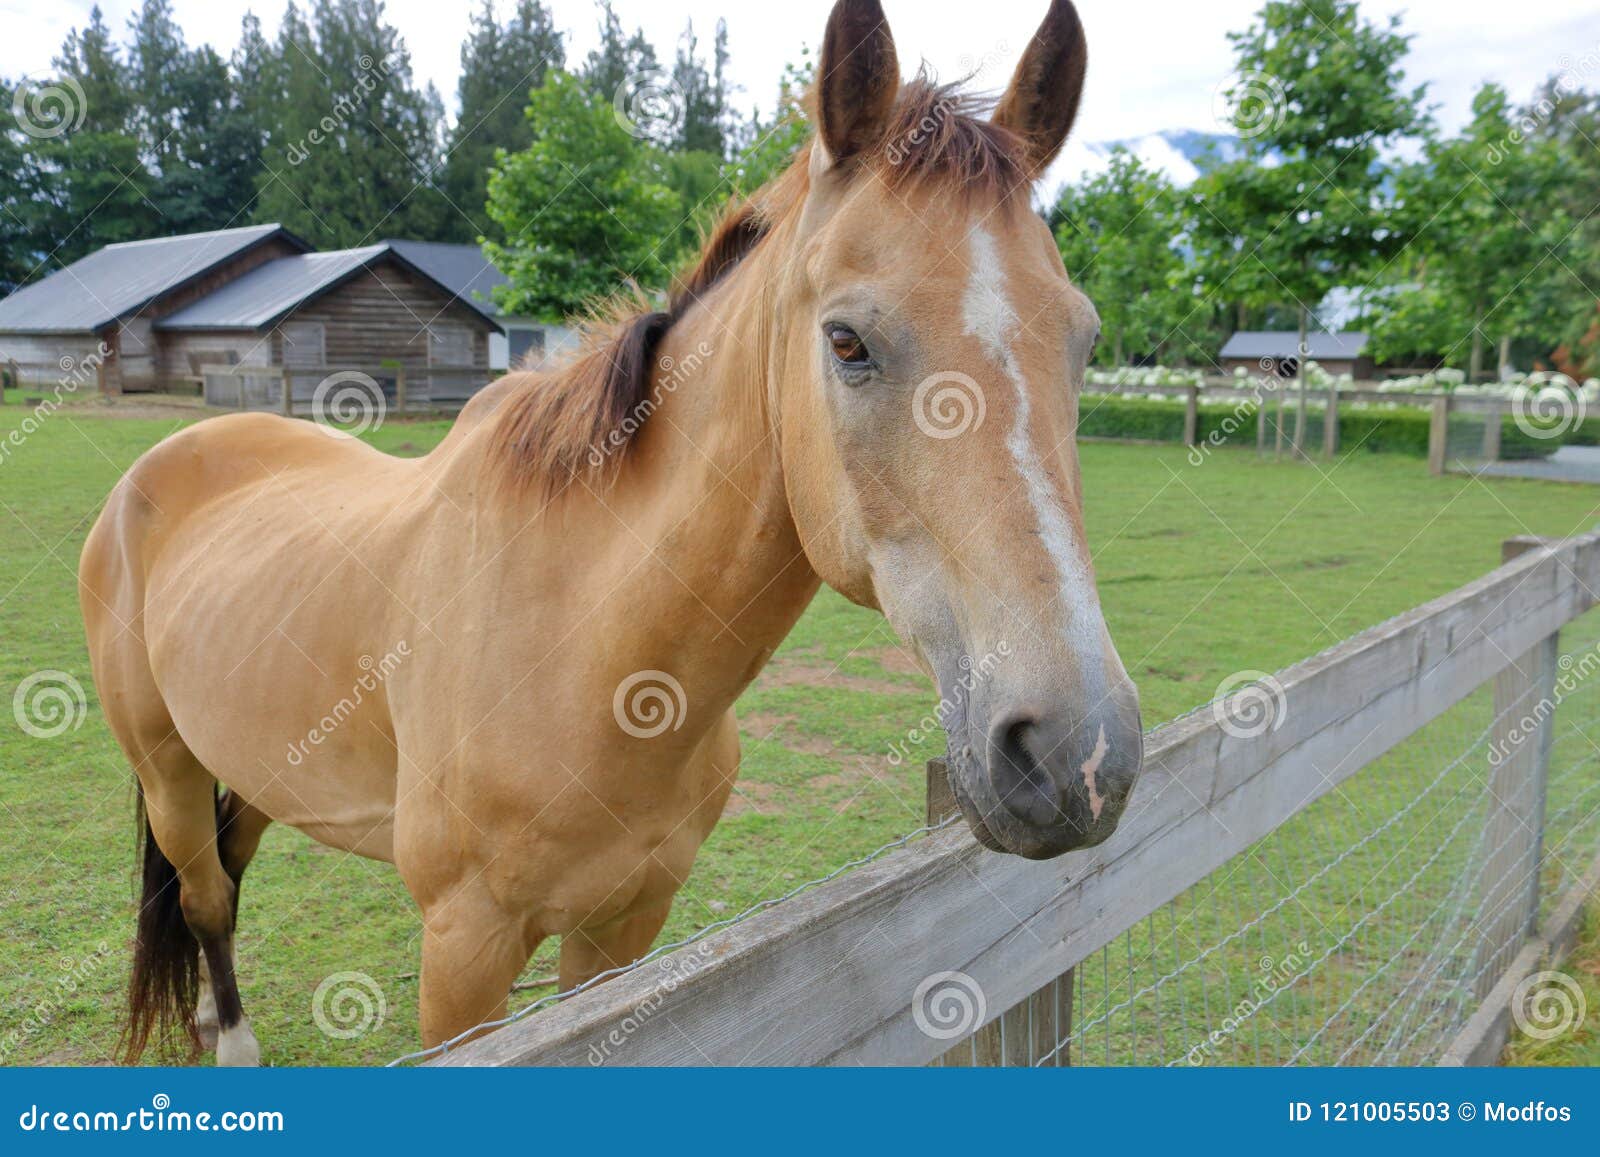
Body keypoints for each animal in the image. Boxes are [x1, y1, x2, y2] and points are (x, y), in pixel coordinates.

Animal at [79, 0, 1141, 1065]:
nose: (1077, 756)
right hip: (167, 770)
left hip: (258, 763)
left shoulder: (624, 928)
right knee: (207, 896)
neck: (593, 650)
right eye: (848, 342)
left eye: (1085, 340)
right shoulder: (463, 953)